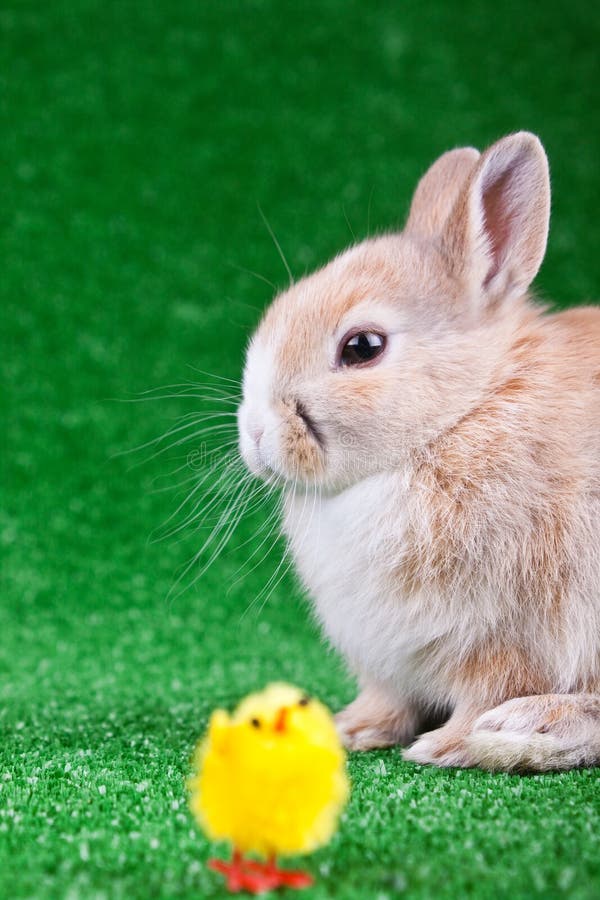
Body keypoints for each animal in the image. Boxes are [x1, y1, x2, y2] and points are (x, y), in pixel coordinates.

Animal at [237, 131, 600, 772]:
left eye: (363, 347)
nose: (255, 433)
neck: (460, 416)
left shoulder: (505, 638)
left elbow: (484, 692)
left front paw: (446, 746)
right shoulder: (389, 661)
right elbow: (389, 700)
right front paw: (348, 729)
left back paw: (532, 729)